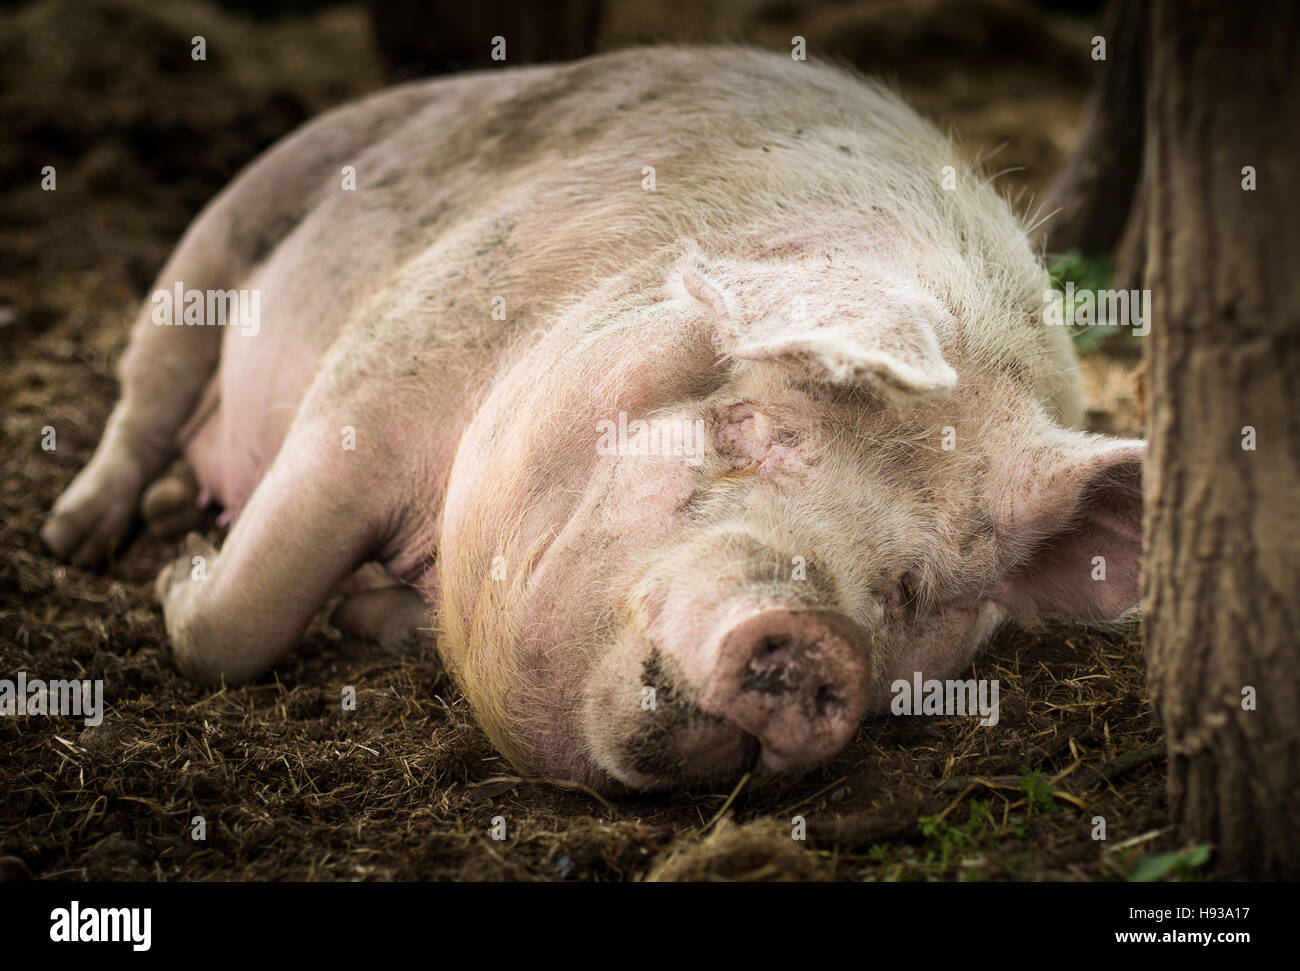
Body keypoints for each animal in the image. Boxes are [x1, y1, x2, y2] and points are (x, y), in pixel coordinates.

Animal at [42, 46, 1143, 793]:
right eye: (746, 427)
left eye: (911, 586)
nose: (814, 631)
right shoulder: (377, 377)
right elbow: (242, 617)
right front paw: (177, 578)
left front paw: (379, 622)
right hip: (217, 236)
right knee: (145, 396)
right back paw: (85, 537)